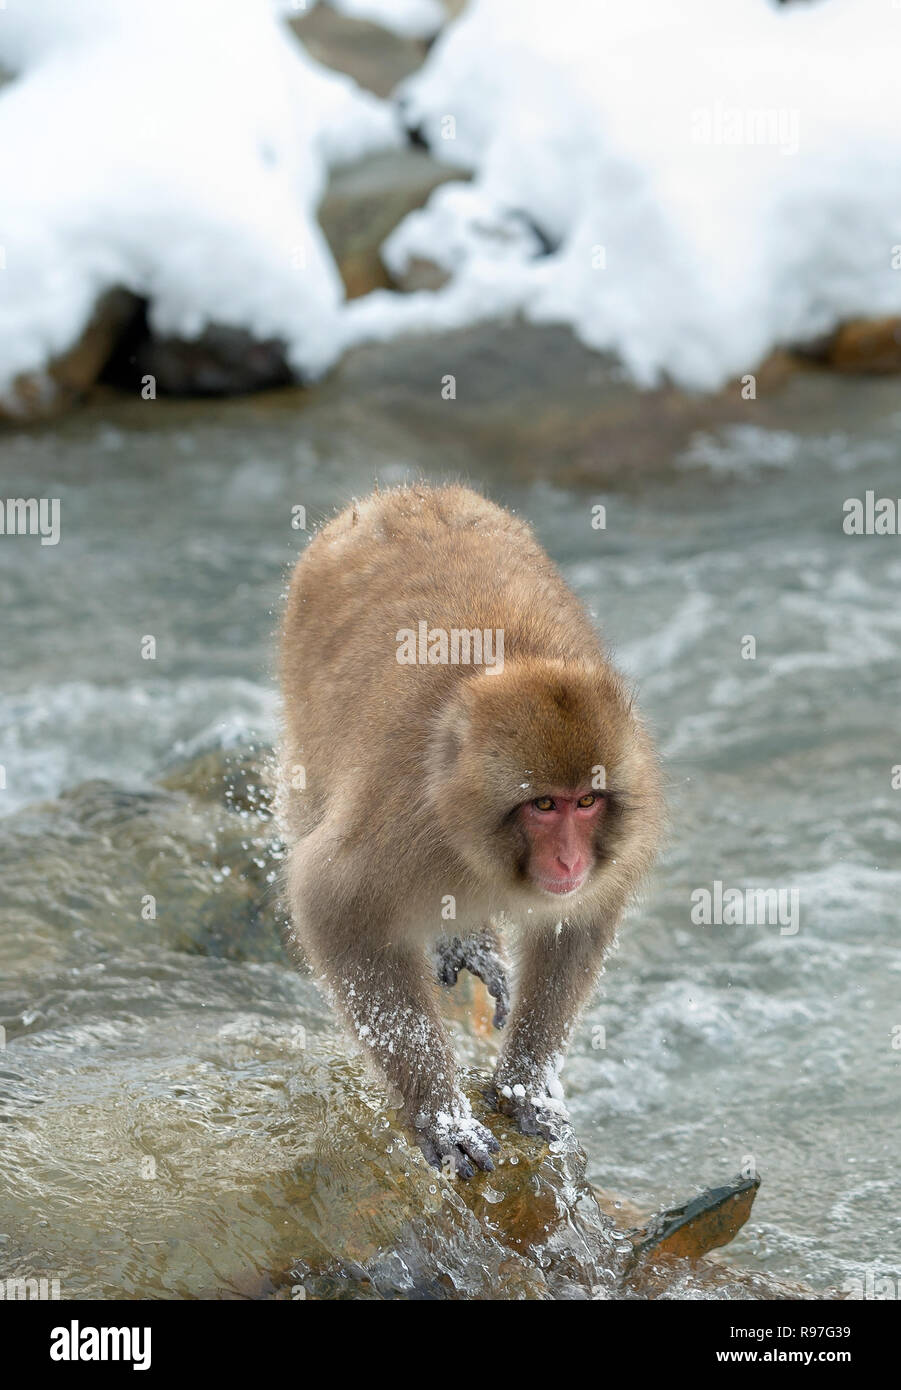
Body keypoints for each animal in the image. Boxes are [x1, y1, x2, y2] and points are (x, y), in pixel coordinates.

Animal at [278, 484, 662, 1178]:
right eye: (544, 805)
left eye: (587, 800)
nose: (571, 863)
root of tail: (403, 492)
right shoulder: (399, 829)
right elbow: (336, 910)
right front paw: (441, 1114)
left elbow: (574, 928)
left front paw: (524, 1085)